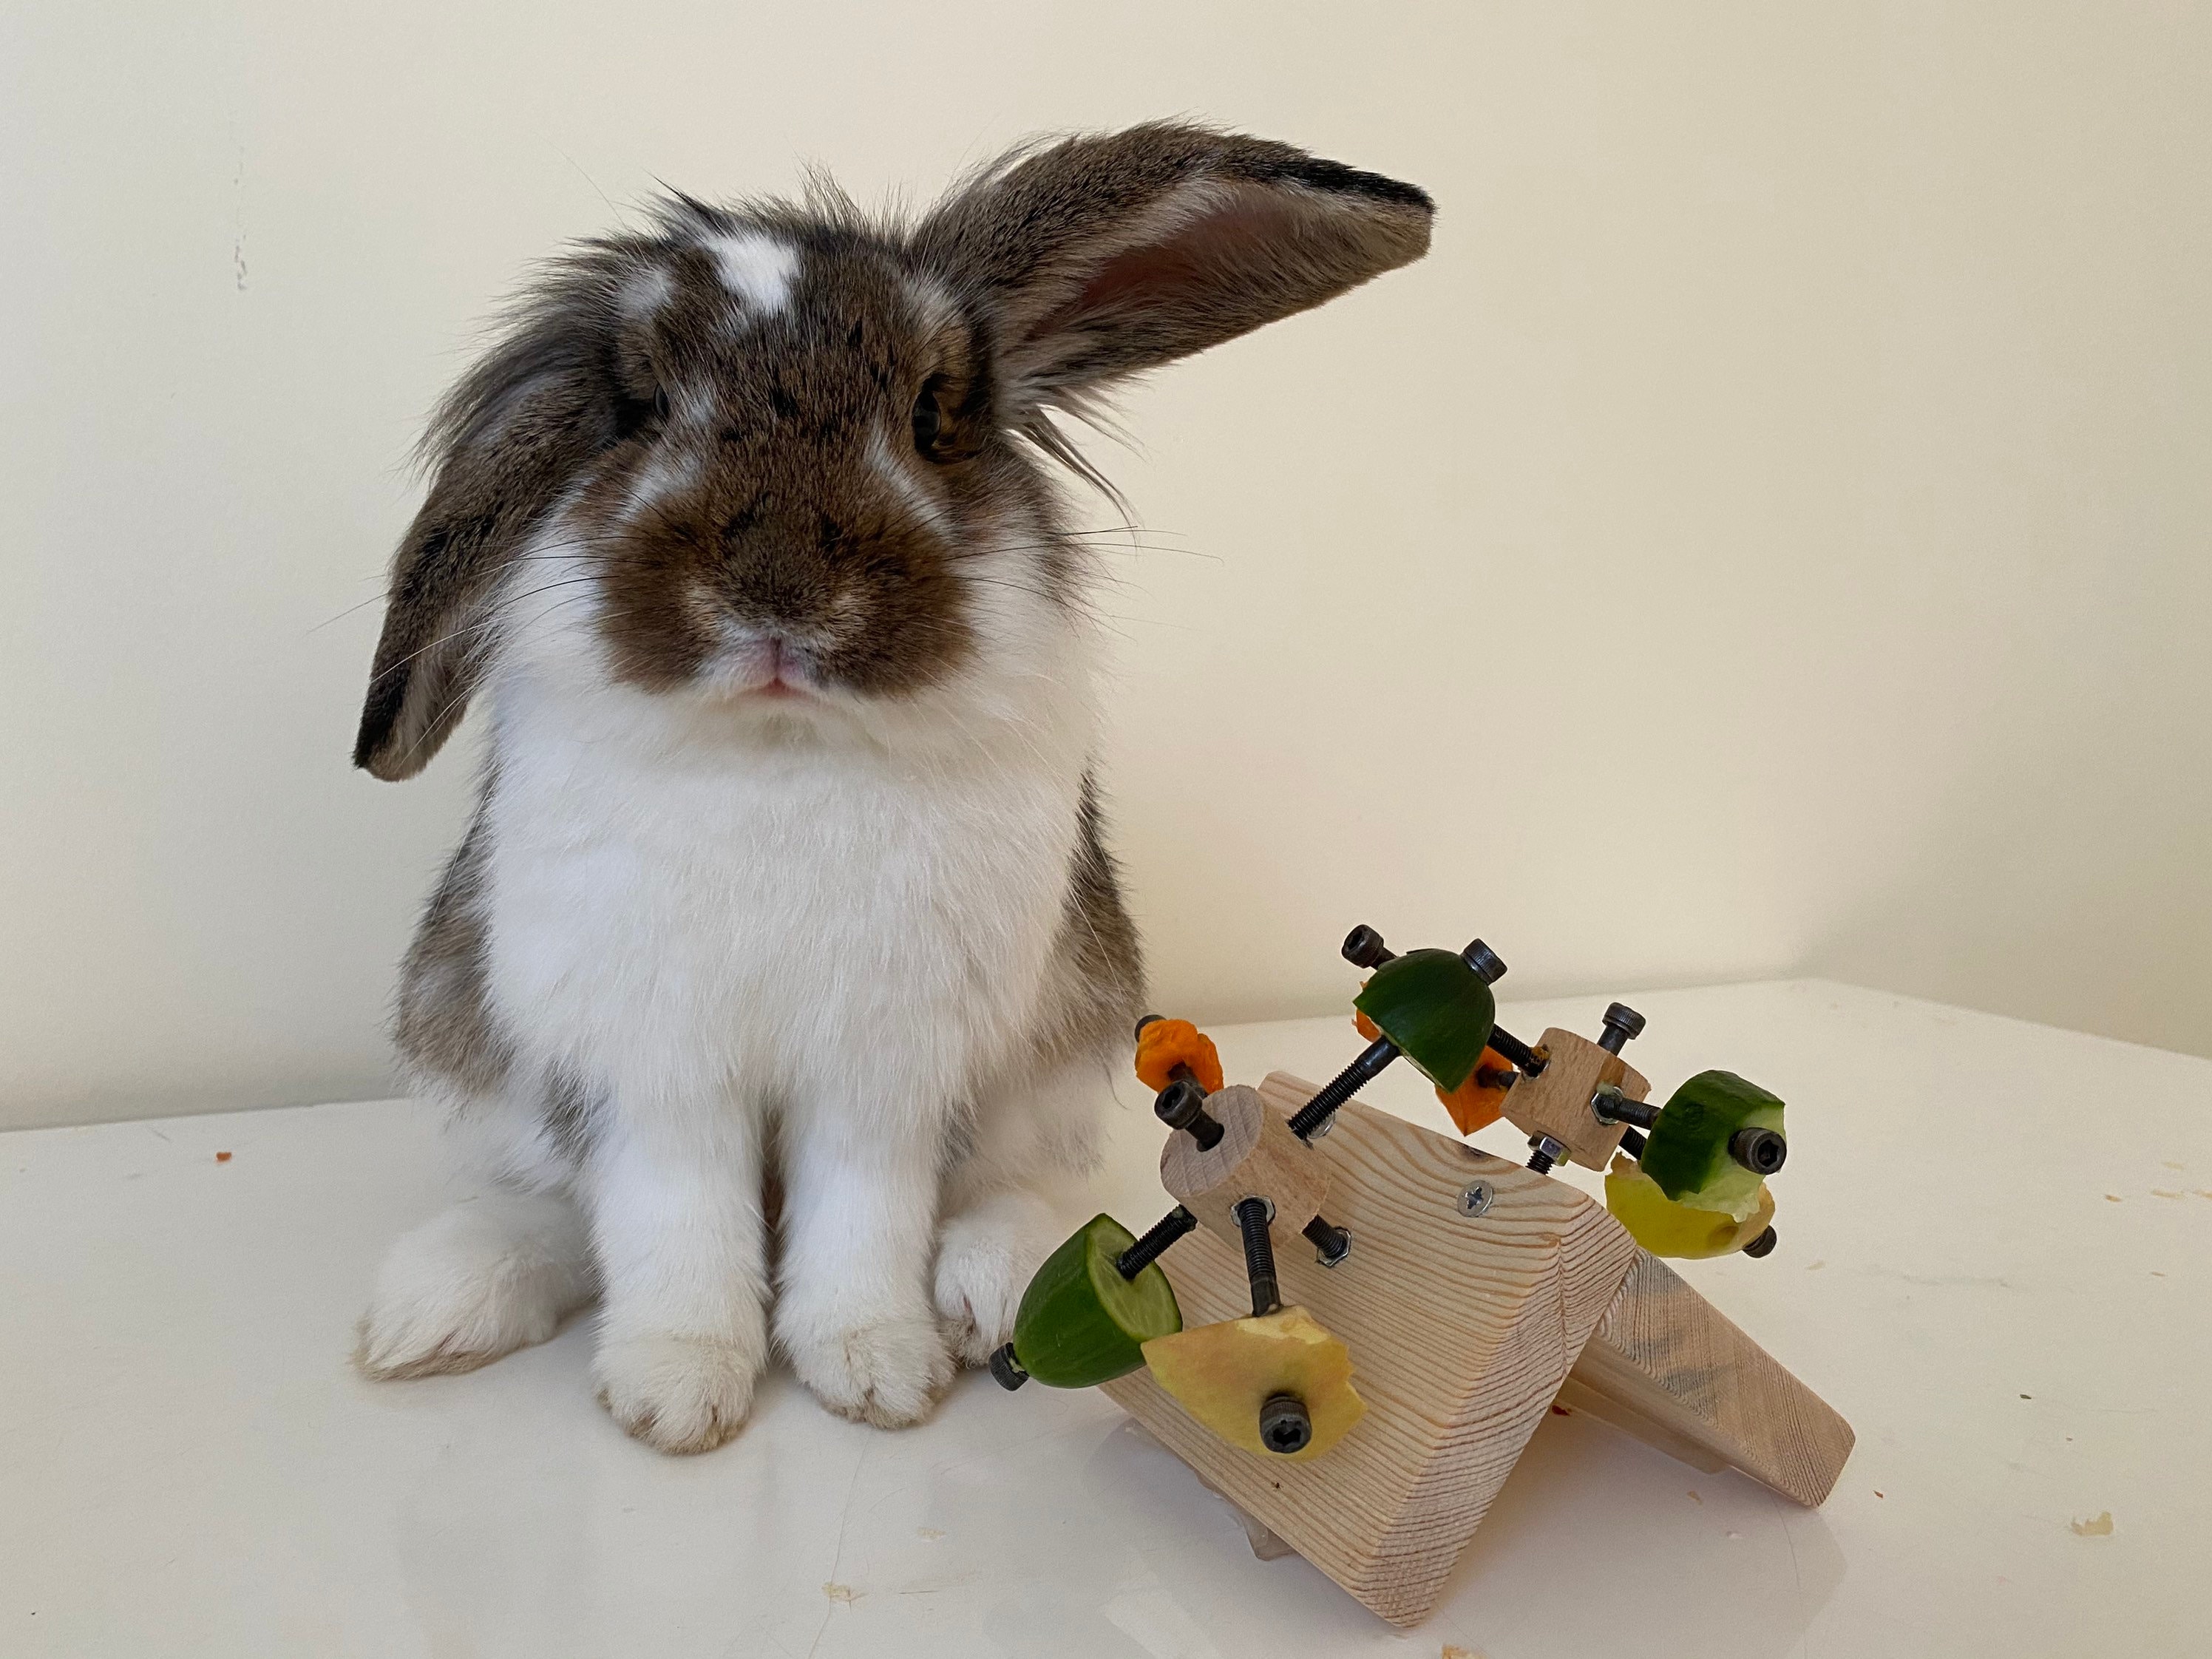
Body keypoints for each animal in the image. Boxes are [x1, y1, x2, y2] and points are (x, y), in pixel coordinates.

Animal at [350, 121, 1433, 1453]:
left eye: (927, 413)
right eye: (639, 410)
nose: (778, 592)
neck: (784, 749)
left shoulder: (884, 1072)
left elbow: (862, 1219)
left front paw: (874, 1369)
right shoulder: (656, 1069)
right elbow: (670, 1223)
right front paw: (677, 1390)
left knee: (1011, 1191)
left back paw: (996, 1287)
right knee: (557, 1209)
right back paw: (433, 1306)